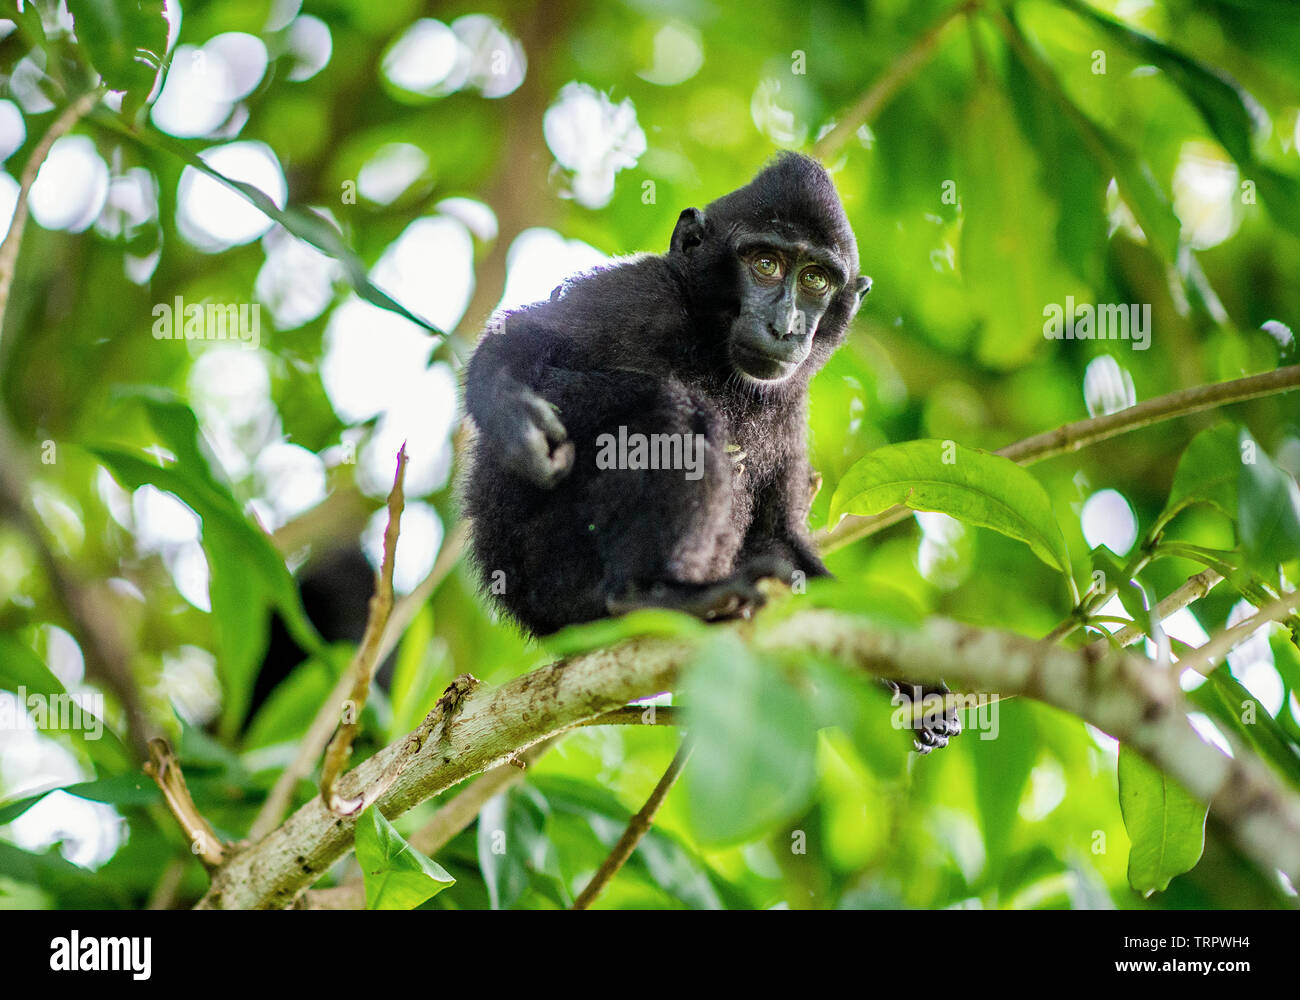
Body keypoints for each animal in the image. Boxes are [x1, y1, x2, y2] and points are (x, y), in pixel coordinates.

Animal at [462, 152, 958, 753]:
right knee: (662, 409)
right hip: (550, 567)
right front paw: (516, 416)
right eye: (765, 264)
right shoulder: (637, 292)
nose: (786, 326)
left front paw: (909, 680)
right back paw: (654, 594)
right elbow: (519, 340)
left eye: (815, 279)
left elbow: (776, 534)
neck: (713, 350)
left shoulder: (791, 401)